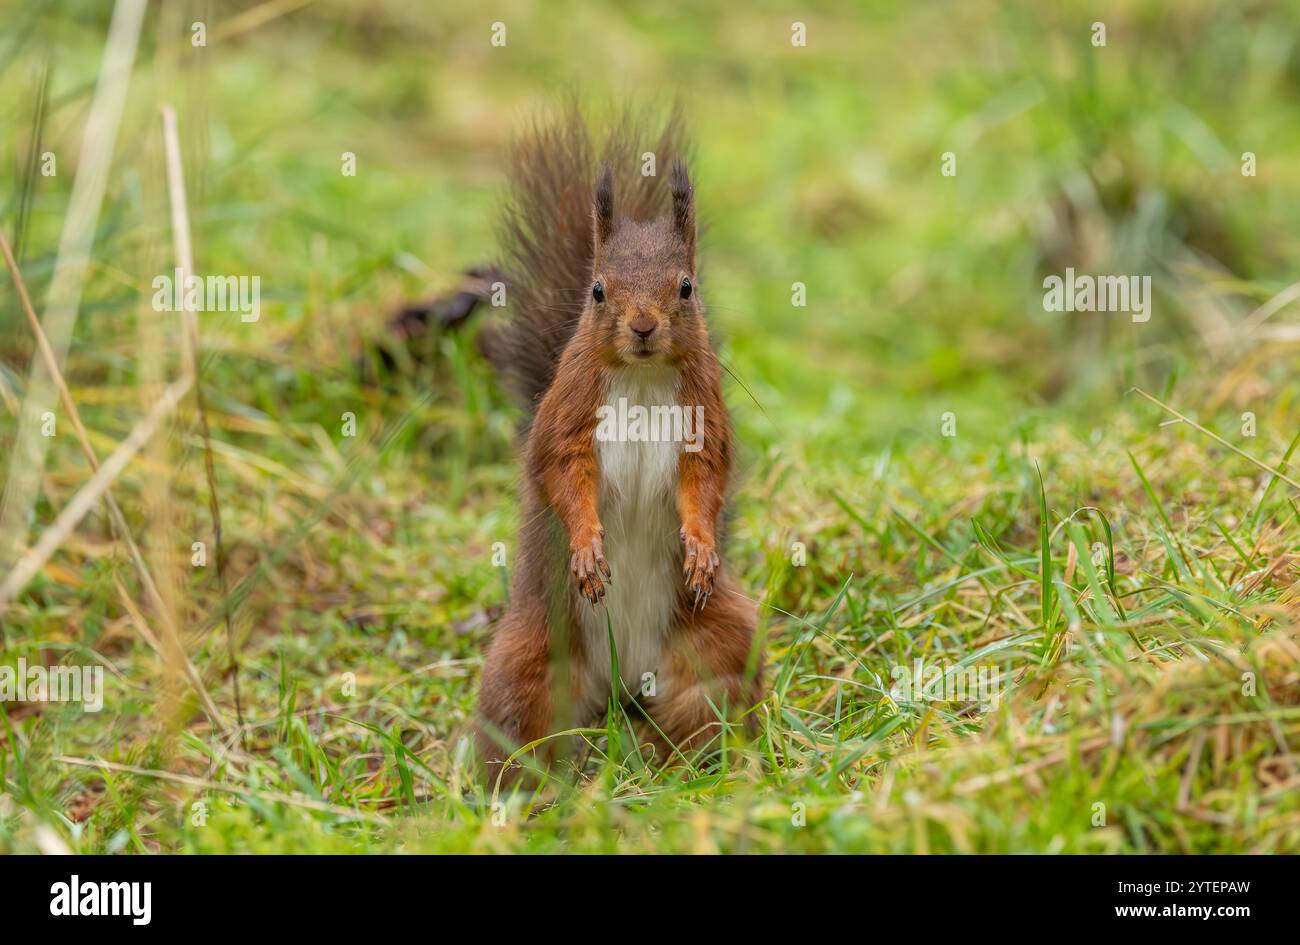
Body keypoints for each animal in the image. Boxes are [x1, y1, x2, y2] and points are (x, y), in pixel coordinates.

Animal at [473, 106, 763, 780]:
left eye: (686, 287)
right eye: (598, 289)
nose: (643, 327)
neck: (641, 375)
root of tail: (620, 682)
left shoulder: (702, 420)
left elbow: (705, 481)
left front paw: (700, 547)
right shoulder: (569, 418)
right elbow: (562, 474)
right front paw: (586, 548)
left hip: (718, 647)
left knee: (703, 709)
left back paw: (683, 762)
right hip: (529, 660)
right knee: (519, 732)